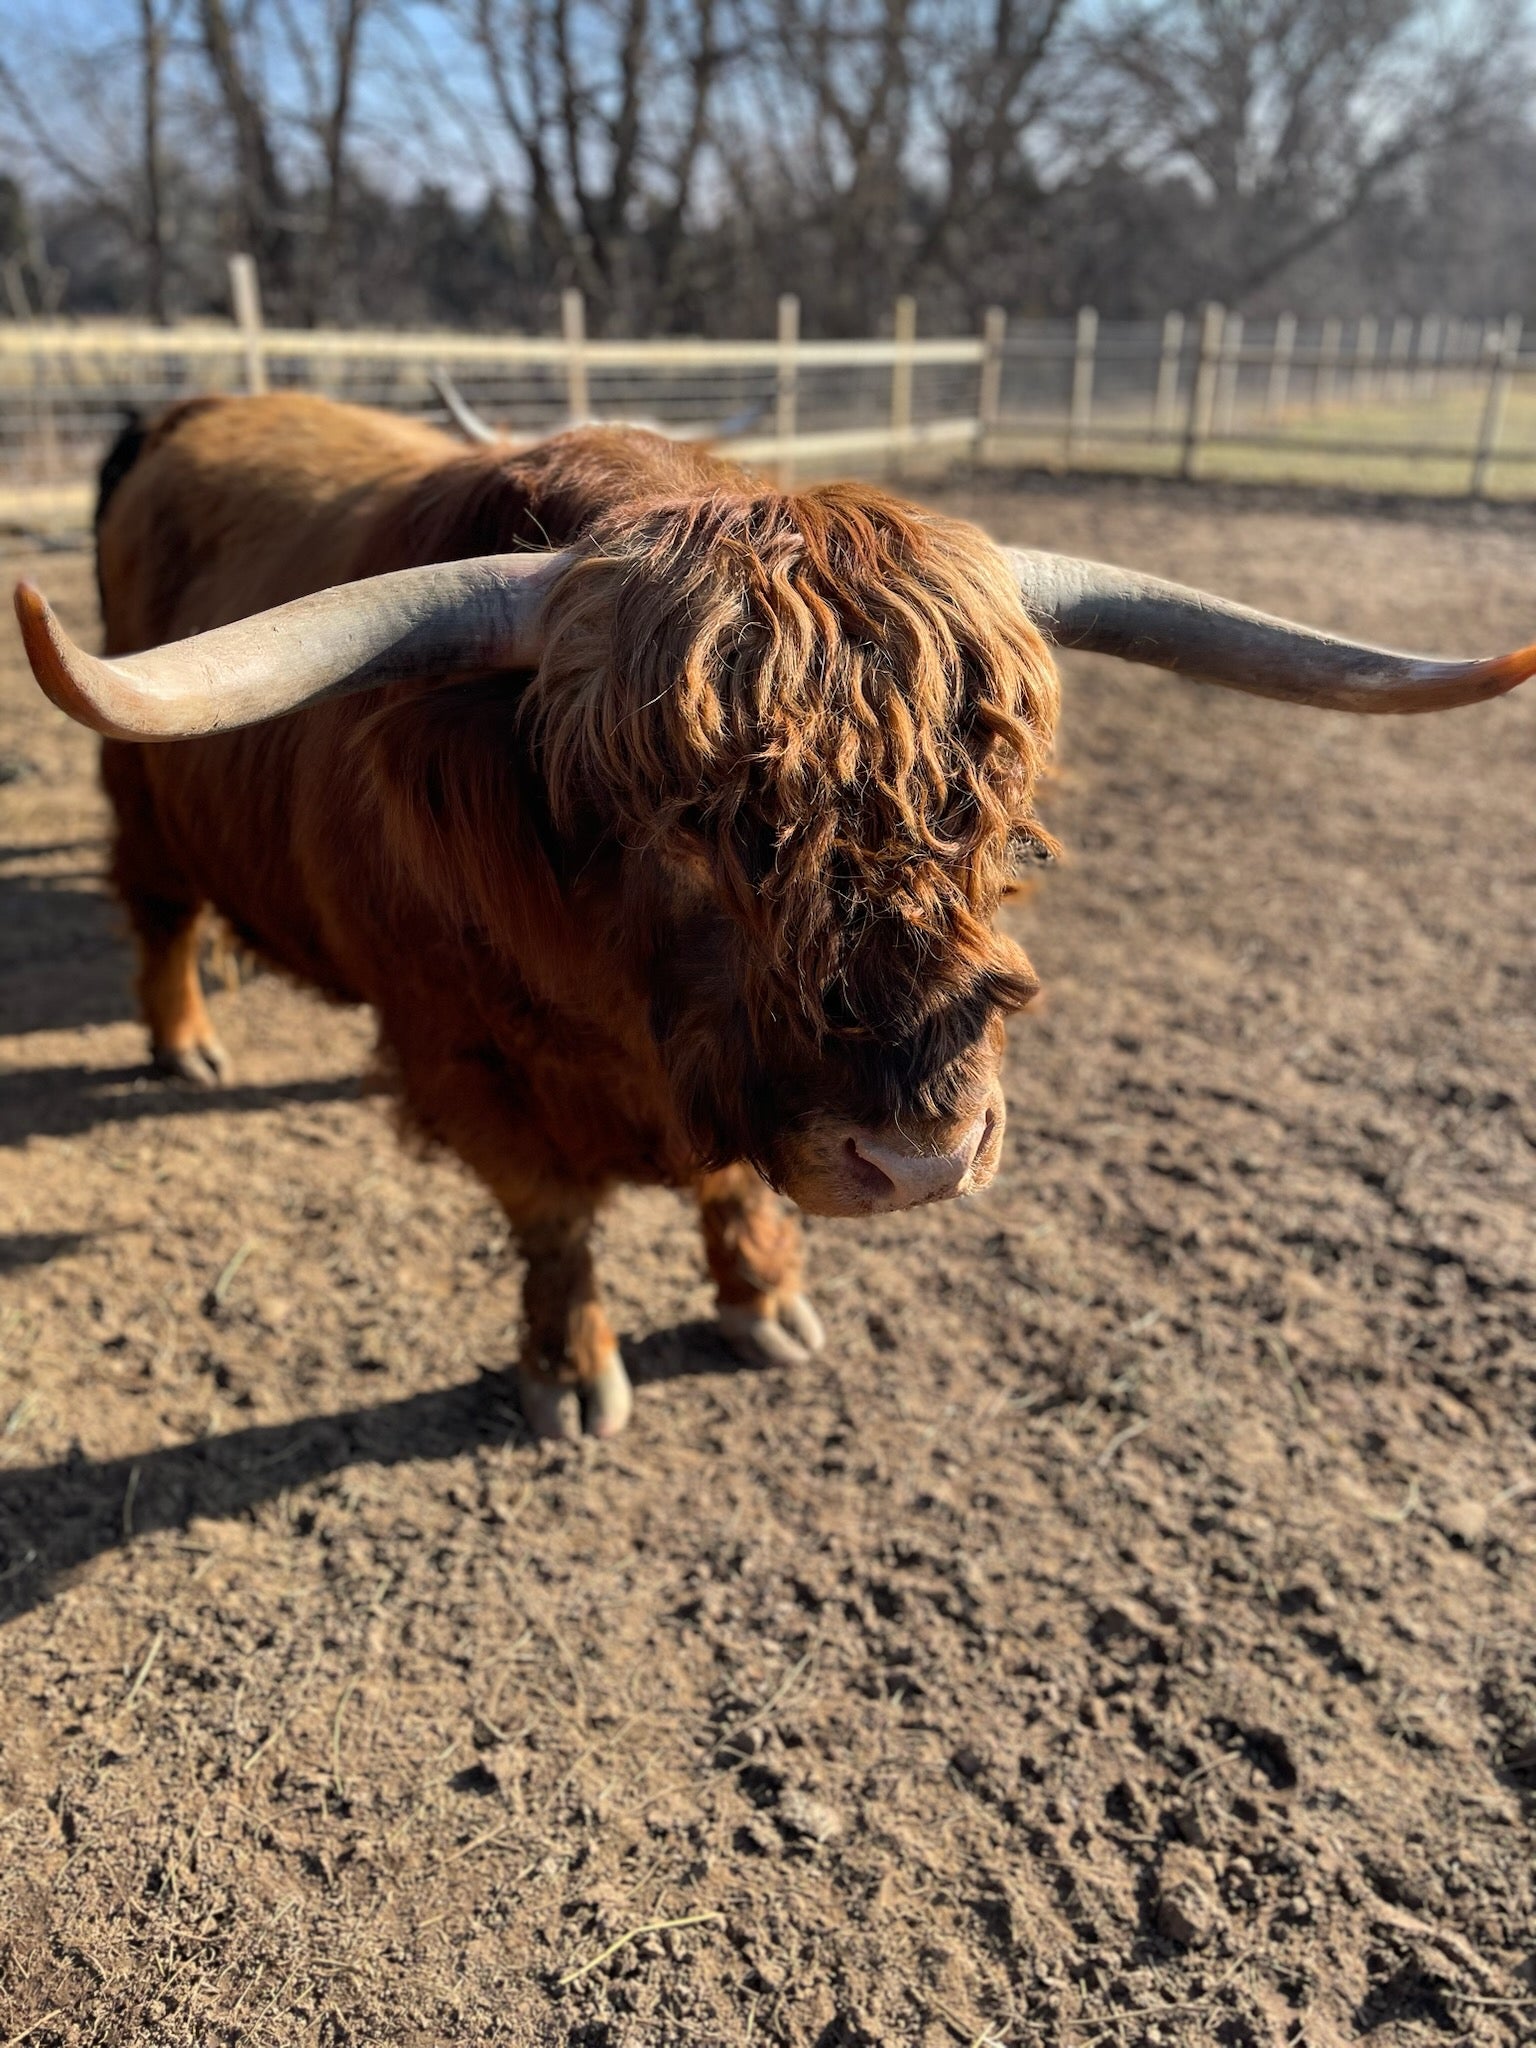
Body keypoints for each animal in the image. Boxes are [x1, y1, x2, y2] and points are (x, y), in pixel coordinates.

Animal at [14, 392, 1536, 1439]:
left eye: (994, 809)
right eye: (686, 829)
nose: (923, 1156)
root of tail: (187, 409)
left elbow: (739, 1178)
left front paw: (764, 1300)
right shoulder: (471, 1058)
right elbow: (553, 1219)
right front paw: (570, 1371)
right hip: (141, 795)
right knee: (156, 907)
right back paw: (185, 1035)